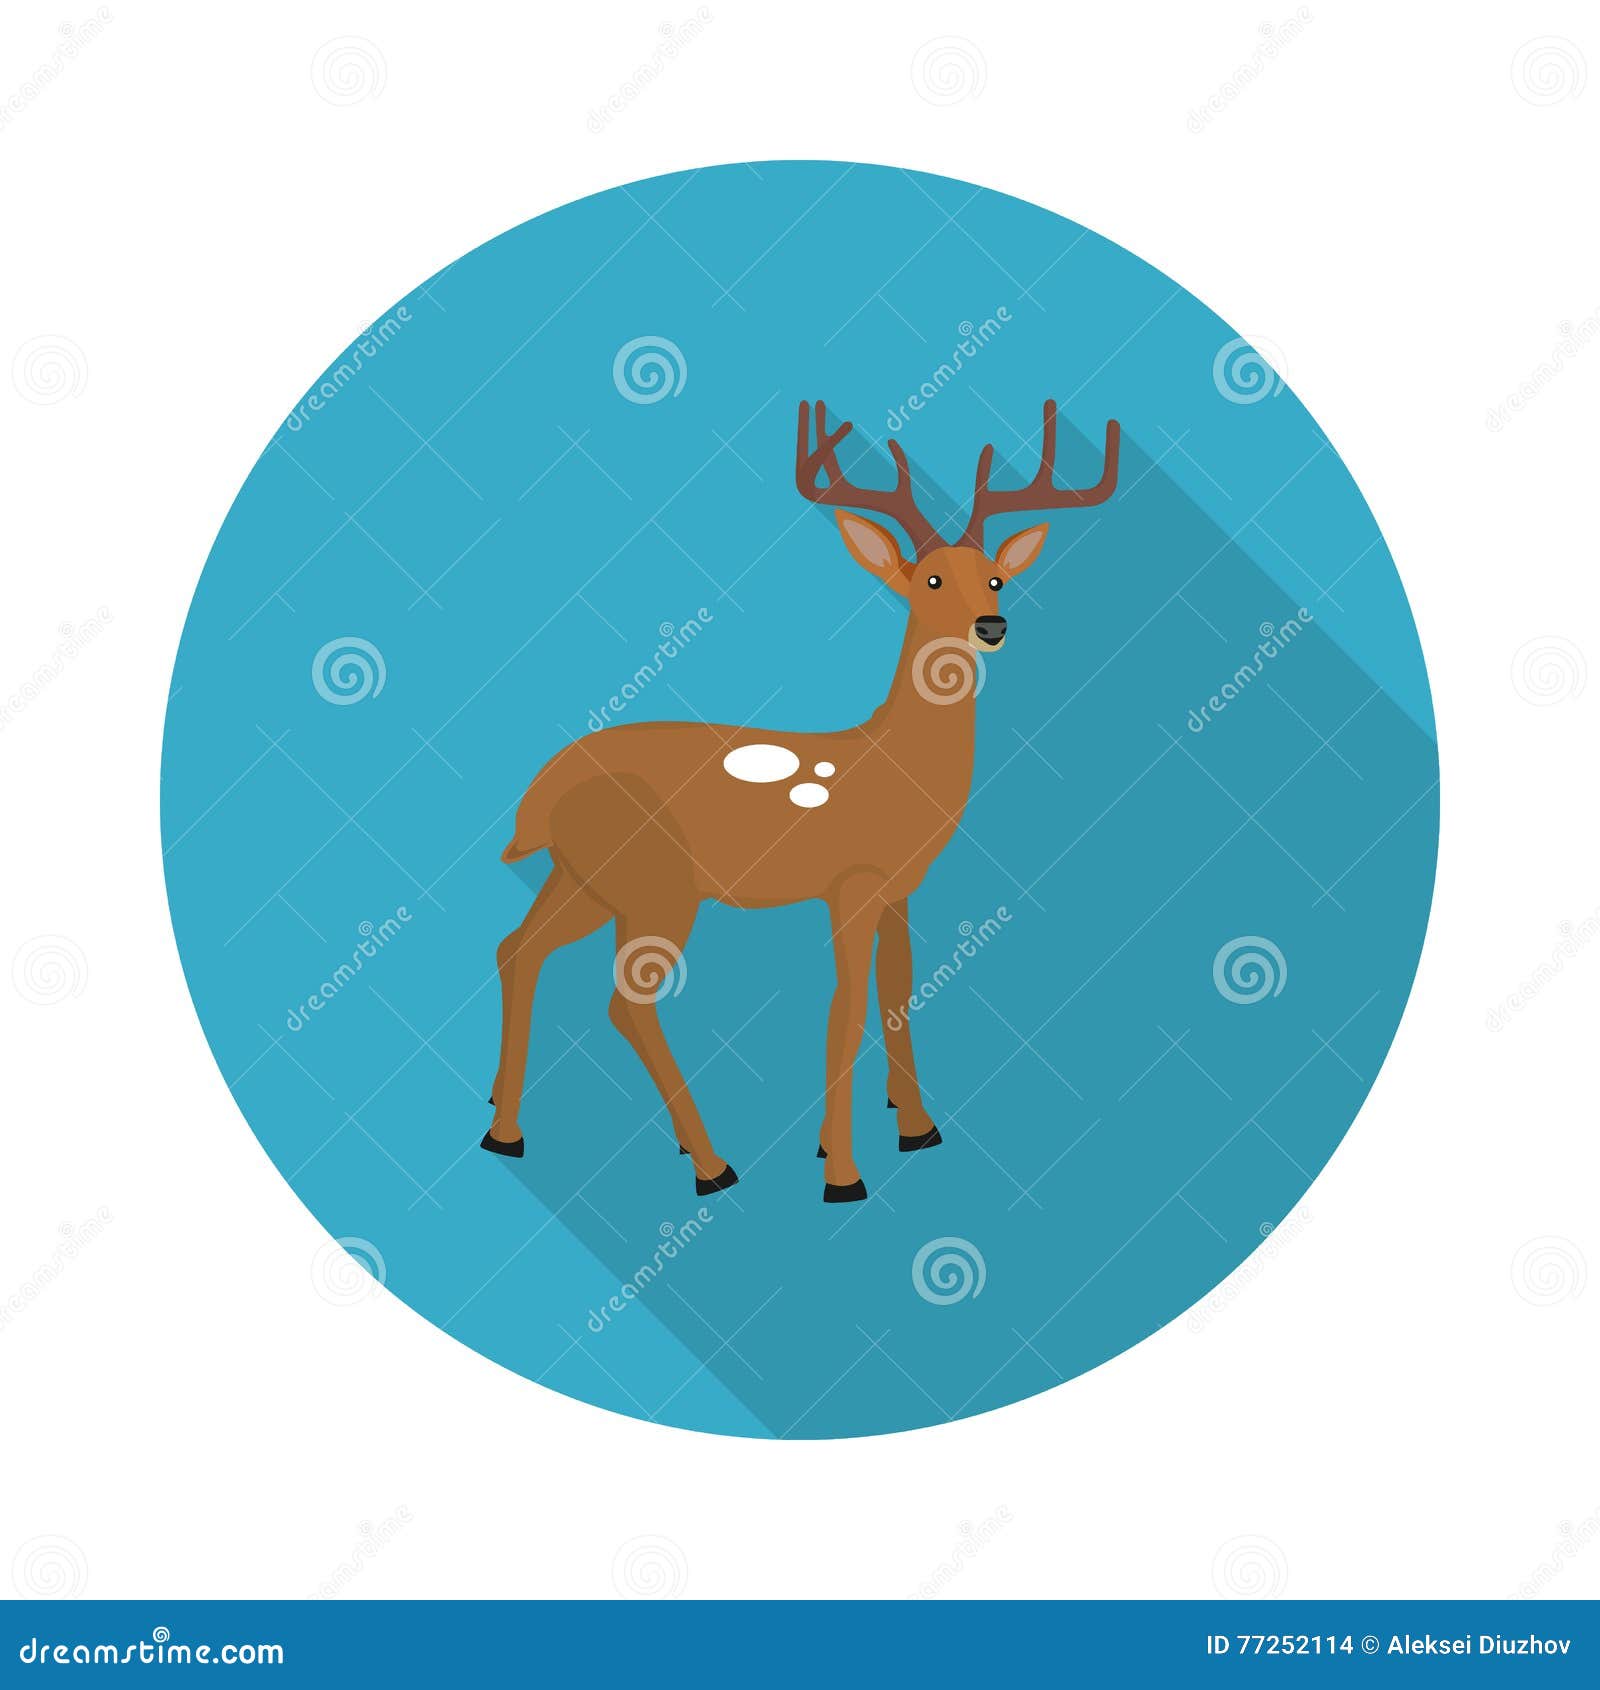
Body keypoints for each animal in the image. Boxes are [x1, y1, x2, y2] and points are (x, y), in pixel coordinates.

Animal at [483, 399, 1120, 1202]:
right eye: (930, 580)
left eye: (998, 578)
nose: (992, 626)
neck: (895, 767)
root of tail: (537, 793)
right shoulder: (851, 882)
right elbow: (845, 1007)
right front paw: (844, 1173)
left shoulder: (899, 888)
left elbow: (898, 990)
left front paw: (915, 1128)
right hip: (658, 885)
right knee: (626, 1001)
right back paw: (712, 1164)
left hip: (584, 879)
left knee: (518, 949)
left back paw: (505, 1130)